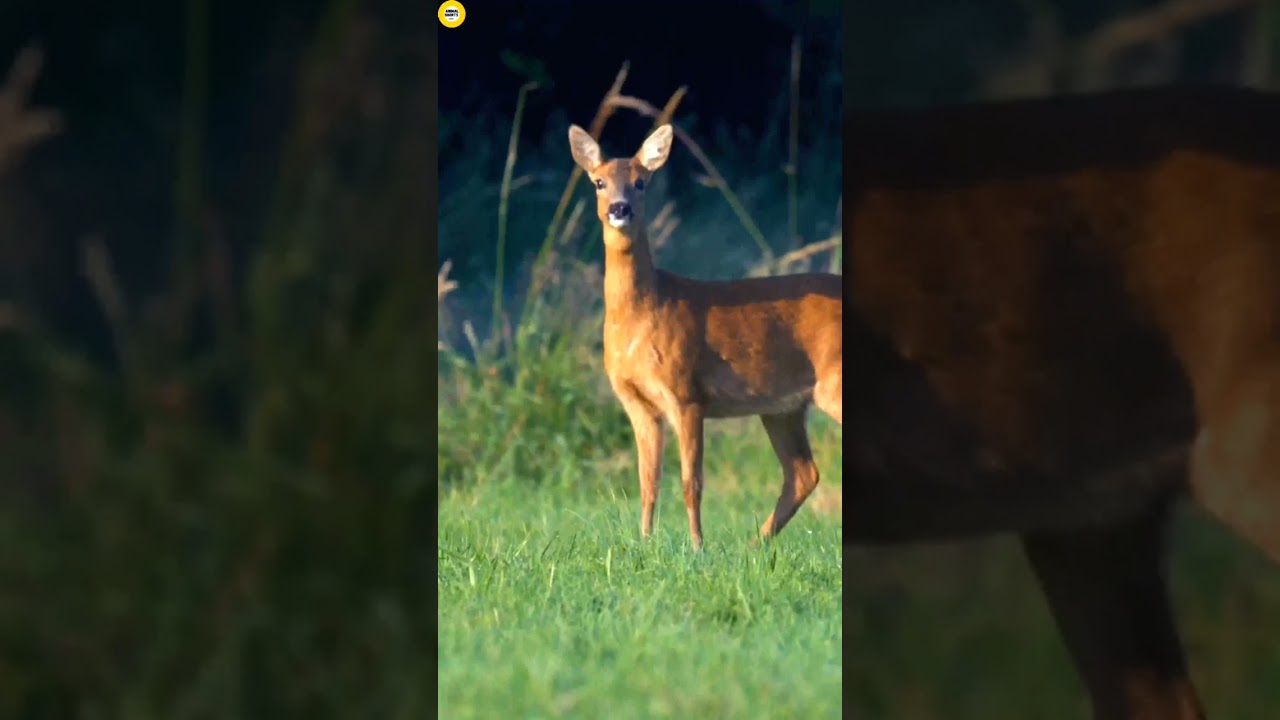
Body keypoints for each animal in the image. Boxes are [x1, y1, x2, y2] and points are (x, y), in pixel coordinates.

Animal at [566, 123, 842, 552]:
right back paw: (753, 546)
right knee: (802, 474)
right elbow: (647, 482)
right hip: (782, 406)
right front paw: (644, 543)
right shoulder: (637, 403)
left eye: (641, 182)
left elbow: (690, 481)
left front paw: (697, 546)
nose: (620, 209)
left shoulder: (686, 392)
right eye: (599, 182)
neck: (643, 314)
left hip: (833, 382)